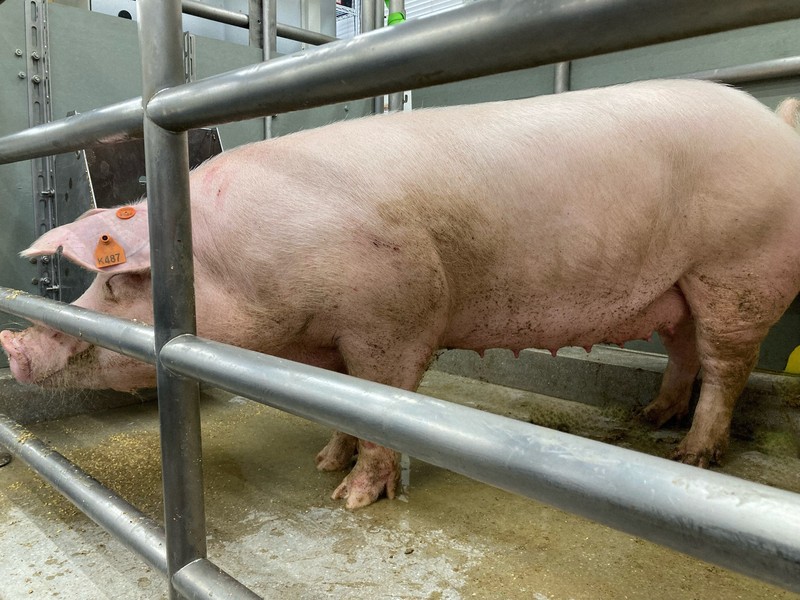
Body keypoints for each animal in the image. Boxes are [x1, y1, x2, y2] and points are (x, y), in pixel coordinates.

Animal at [3, 79, 800, 509]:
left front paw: (351, 499)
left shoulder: (395, 315)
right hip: (682, 284)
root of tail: (775, 125)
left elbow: (381, 402)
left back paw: (690, 457)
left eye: (115, 281)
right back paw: (653, 416)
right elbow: (337, 402)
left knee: (727, 364)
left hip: (740, 269)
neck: (235, 261)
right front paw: (325, 463)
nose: (16, 345)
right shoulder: (327, 339)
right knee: (684, 346)